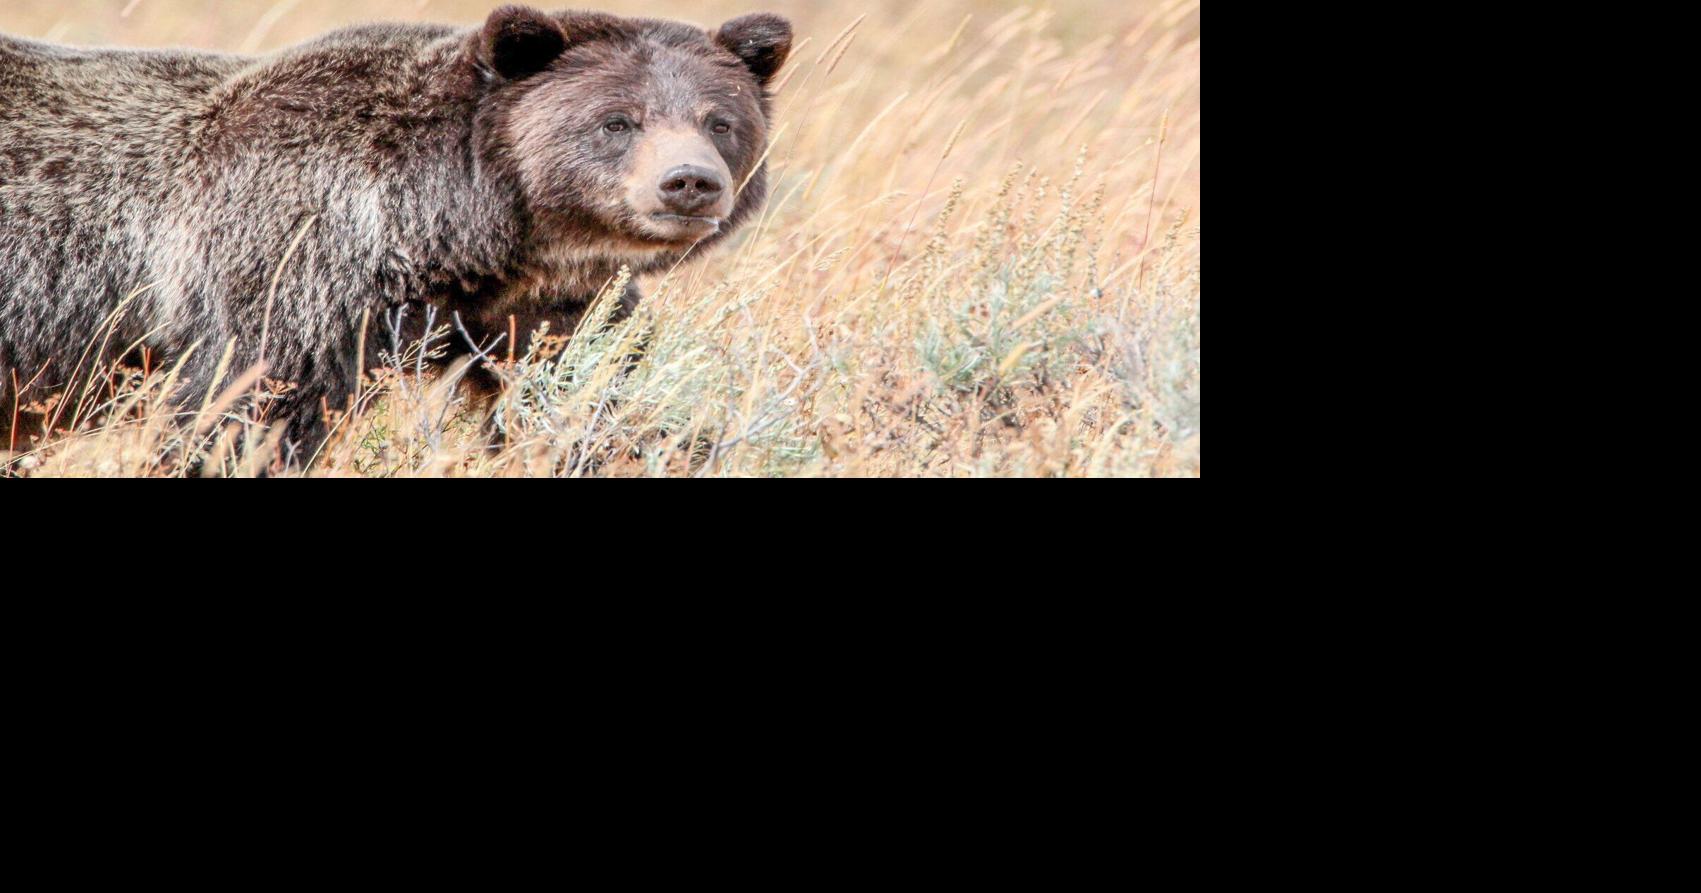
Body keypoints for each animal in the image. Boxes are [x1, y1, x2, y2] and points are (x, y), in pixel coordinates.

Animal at [0, 5, 791, 454]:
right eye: (617, 121)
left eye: (720, 121)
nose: (689, 182)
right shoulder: (284, 266)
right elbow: (245, 407)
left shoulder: (543, 308)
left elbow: (587, 391)